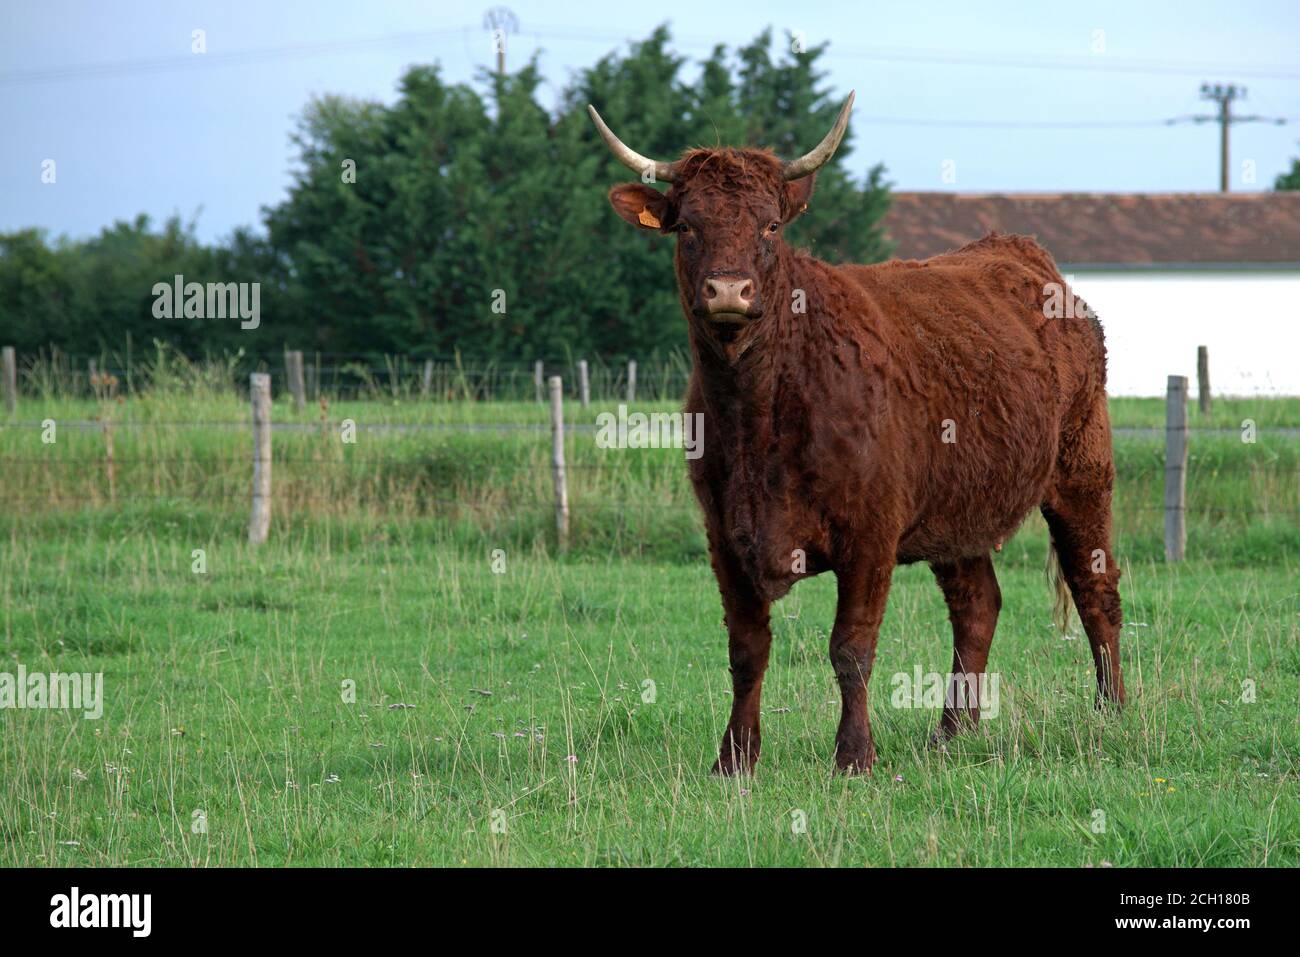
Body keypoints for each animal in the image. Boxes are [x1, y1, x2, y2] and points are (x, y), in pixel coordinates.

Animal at [589, 92, 1126, 774]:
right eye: (686, 227)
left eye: (771, 226)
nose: (729, 289)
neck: (758, 412)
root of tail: (1022, 252)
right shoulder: (723, 533)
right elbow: (747, 650)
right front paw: (734, 759)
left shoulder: (871, 534)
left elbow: (850, 647)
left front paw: (854, 756)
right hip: (957, 507)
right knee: (977, 605)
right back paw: (952, 731)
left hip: (1083, 469)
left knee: (1095, 586)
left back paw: (1113, 711)